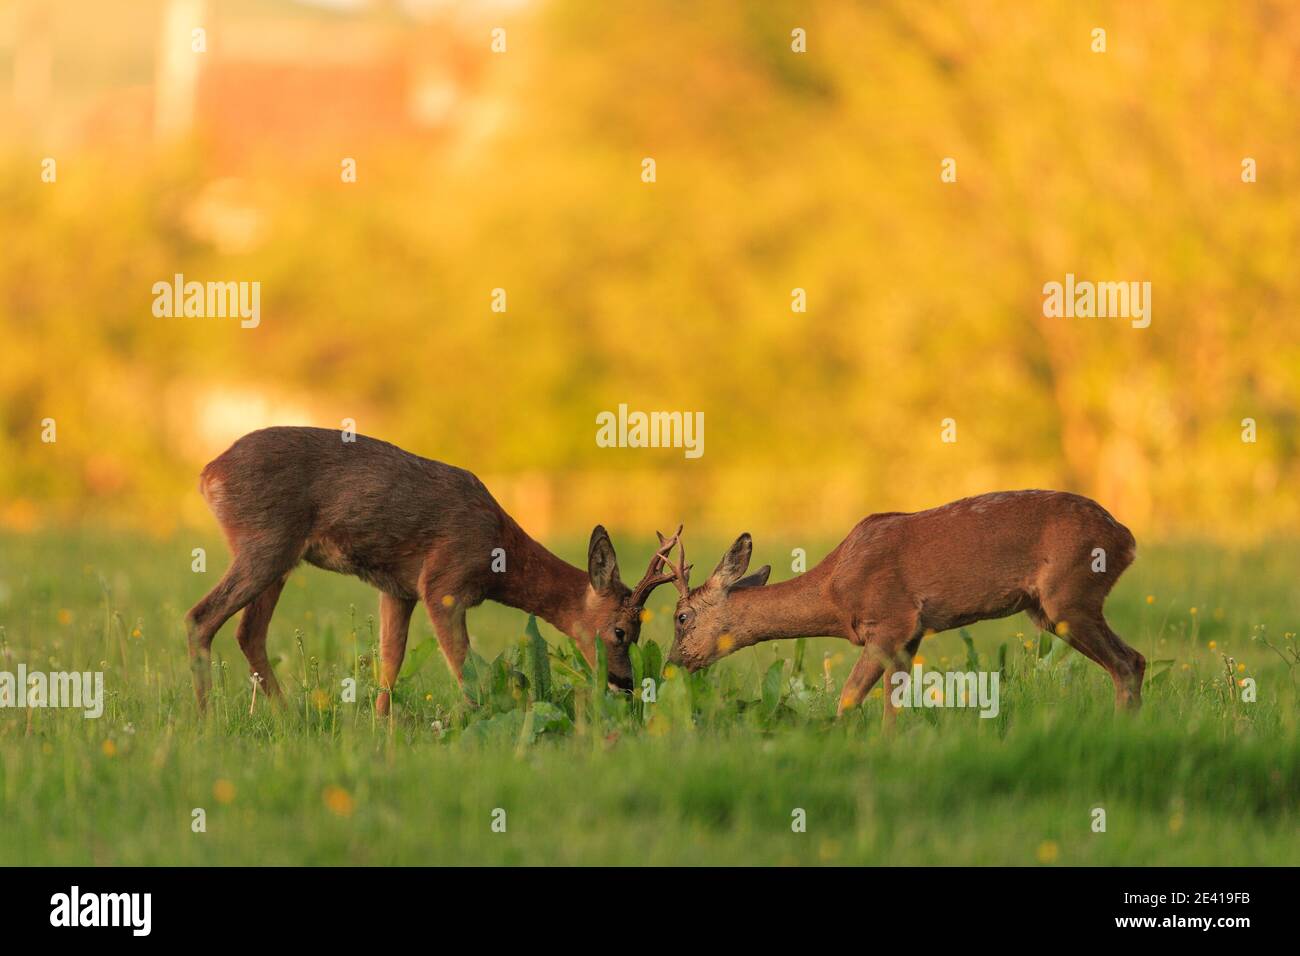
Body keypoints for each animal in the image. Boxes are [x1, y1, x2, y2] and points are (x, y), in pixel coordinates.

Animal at [185, 426, 681, 714]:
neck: (499, 557)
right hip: (265, 543)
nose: (624, 683)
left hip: (280, 558)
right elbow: (463, 668)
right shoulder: (442, 584)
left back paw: (287, 716)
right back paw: (207, 720)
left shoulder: (399, 589)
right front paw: (476, 723)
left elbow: (390, 661)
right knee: (200, 617)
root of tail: (208, 473)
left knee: (248, 632)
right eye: (620, 630)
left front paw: (381, 728)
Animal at [661, 490, 1146, 729]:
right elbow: (893, 701)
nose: (669, 665)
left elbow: (849, 696)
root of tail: (1127, 538)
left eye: (681, 617)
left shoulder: (890, 619)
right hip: (1055, 608)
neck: (834, 592)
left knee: (1124, 664)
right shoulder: (910, 635)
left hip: (1069, 595)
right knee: (1137, 660)